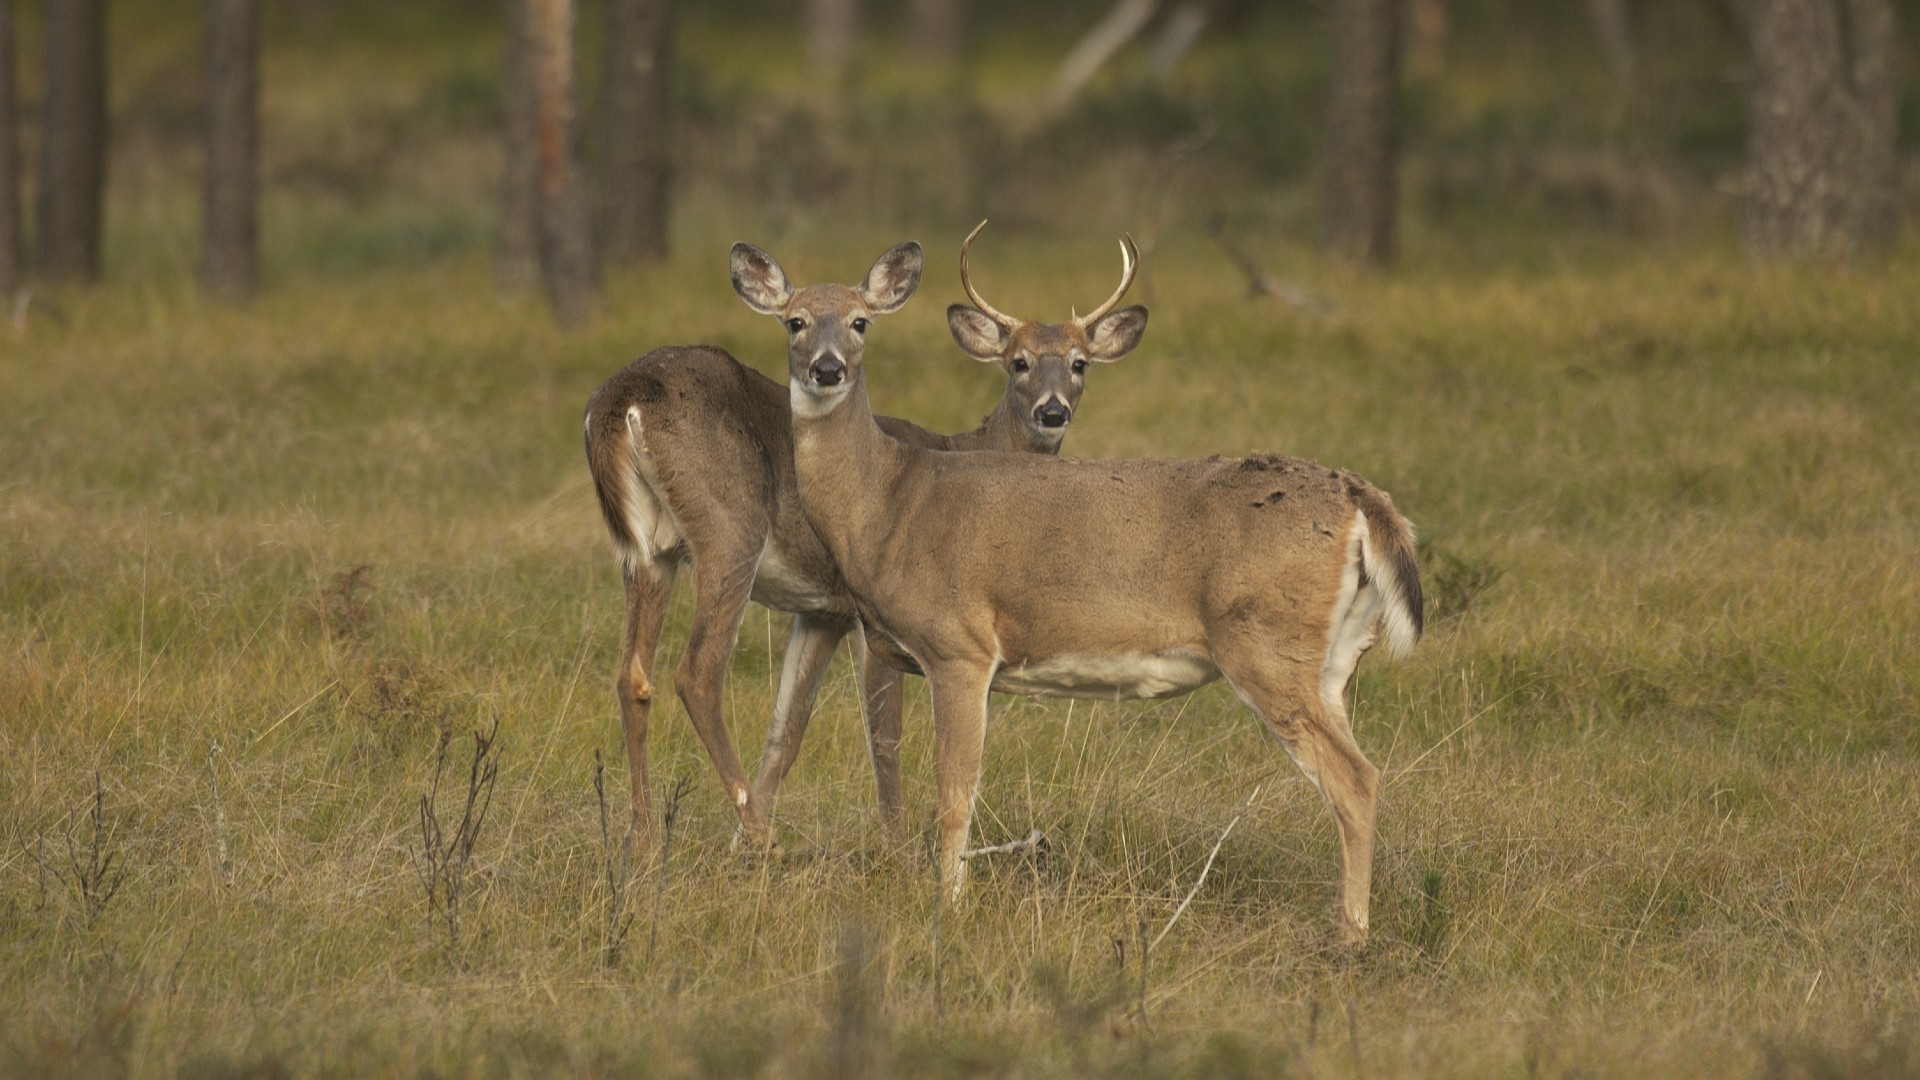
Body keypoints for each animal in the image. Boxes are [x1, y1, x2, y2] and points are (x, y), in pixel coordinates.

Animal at [582, 224, 1148, 857]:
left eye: (1080, 363)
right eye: (1018, 362)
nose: (1053, 412)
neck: (964, 449)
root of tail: (623, 399)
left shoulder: (823, 610)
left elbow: (787, 732)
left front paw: (738, 843)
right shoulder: (870, 611)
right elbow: (885, 737)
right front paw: (895, 848)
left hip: (646, 551)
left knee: (633, 675)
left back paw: (646, 841)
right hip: (730, 530)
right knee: (698, 673)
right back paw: (758, 838)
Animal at [732, 239, 1422, 947]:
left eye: (861, 322)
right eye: (794, 321)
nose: (827, 368)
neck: (890, 501)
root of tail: (1362, 501)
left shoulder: (960, 646)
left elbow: (953, 795)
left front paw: (950, 908)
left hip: (1267, 647)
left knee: (1357, 780)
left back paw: (1351, 938)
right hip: (1332, 662)